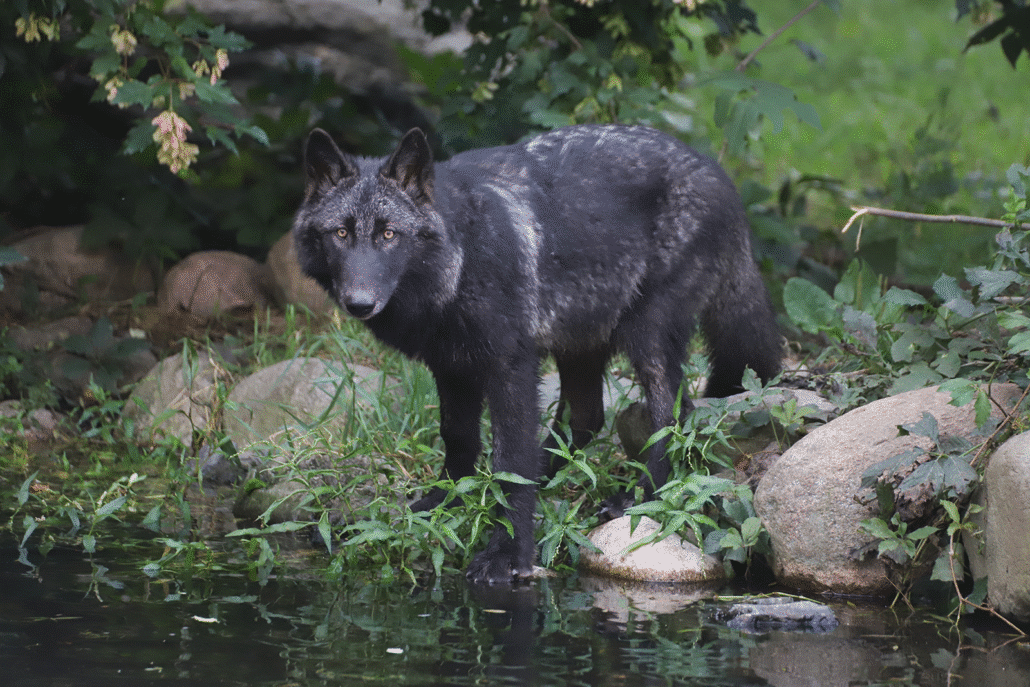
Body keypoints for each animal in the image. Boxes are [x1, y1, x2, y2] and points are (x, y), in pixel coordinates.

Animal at [293, 124, 781, 584]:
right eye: (341, 233)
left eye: (389, 234)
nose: (359, 302)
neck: (464, 255)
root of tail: (719, 175)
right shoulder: (450, 367)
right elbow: (460, 439)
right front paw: (445, 501)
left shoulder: (511, 367)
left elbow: (510, 459)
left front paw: (506, 555)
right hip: (579, 345)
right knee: (587, 418)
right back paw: (544, 477)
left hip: (646, 336)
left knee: (675, 416)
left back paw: (636, 497)